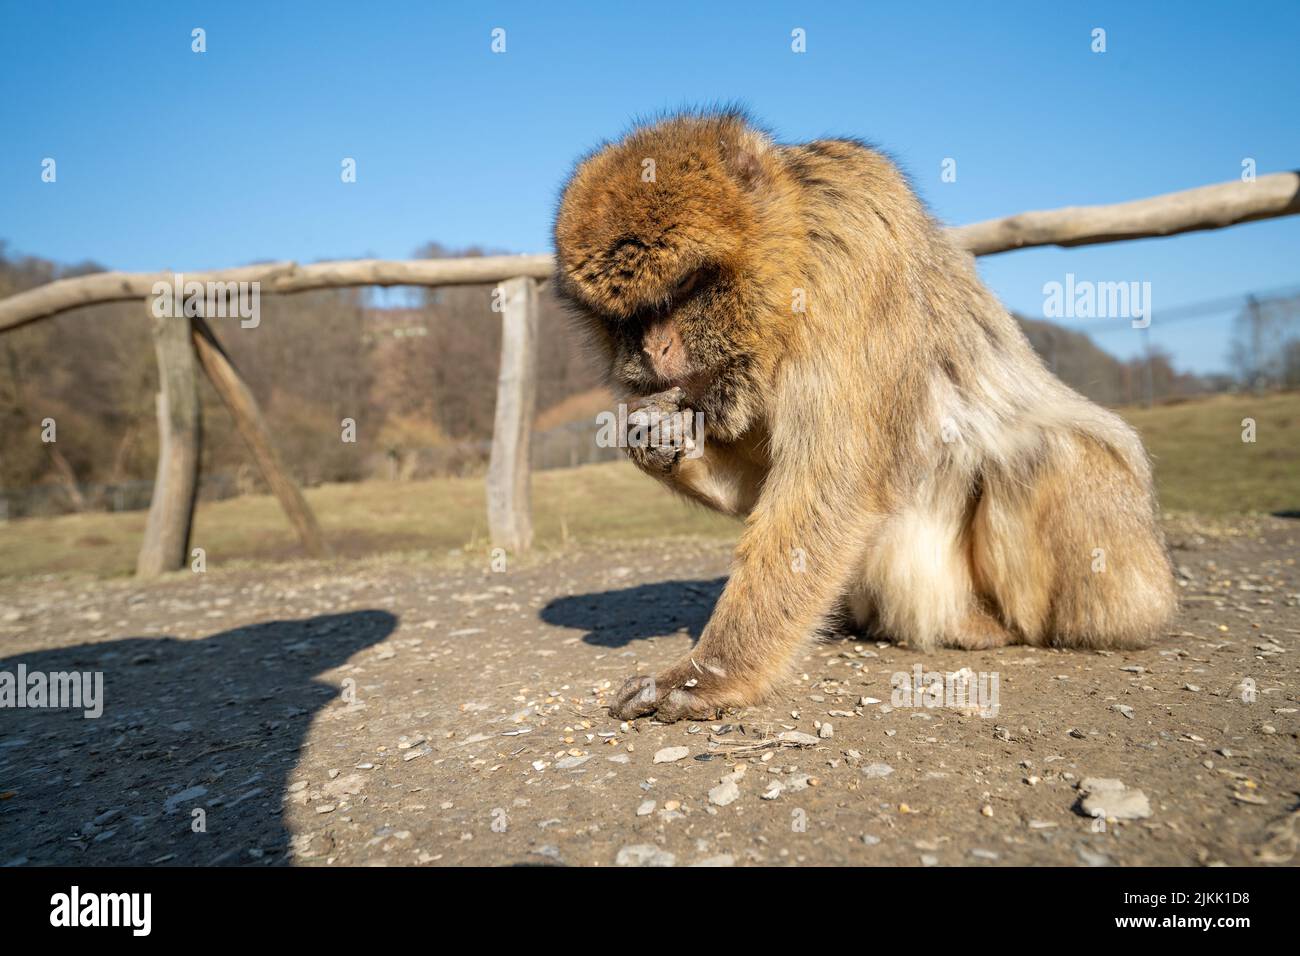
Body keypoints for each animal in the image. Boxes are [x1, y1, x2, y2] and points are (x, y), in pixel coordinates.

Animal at [552, 110, 1176, 723]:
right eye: (626, 317)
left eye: (684, 286)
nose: (653, 348)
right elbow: (774, 486)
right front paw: (656, 435)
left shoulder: (847, 262)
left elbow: (834, 483)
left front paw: (709, 675)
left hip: (1128, 588)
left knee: (1054, 455)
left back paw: (999, 628)